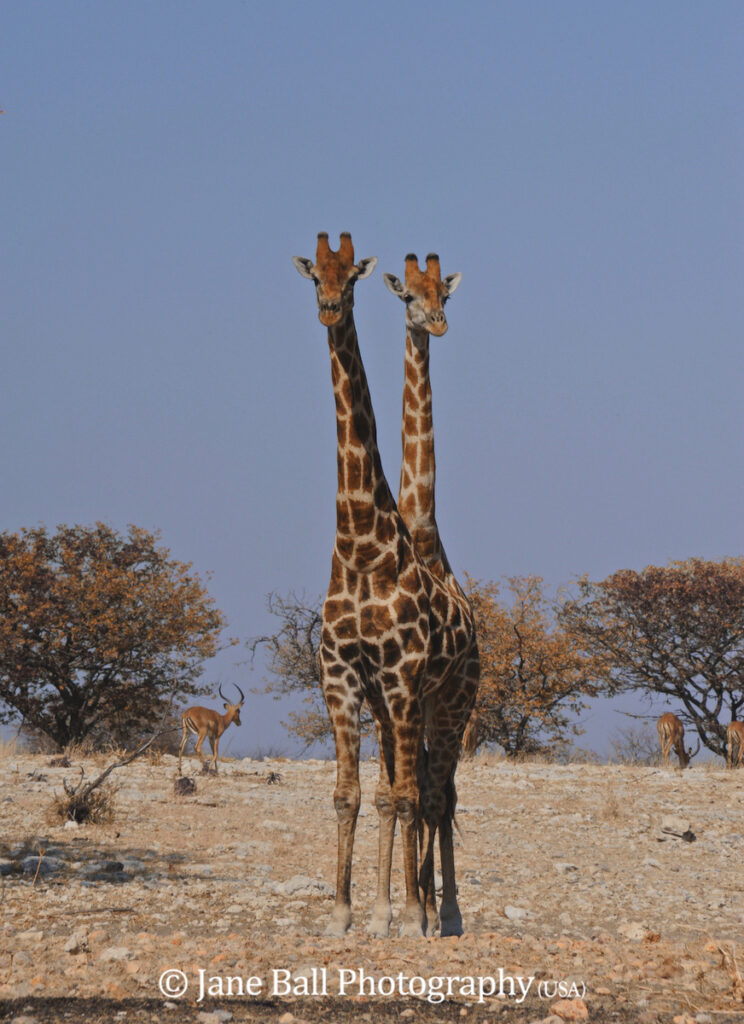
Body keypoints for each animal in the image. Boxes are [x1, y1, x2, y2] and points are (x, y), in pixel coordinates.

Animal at [293, 233, 477, 938]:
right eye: (316, 273)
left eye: (352, 278)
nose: (328, 307)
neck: (362, 543)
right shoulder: (342, 677)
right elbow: (350, 795)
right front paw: (347, 912)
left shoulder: (401, 680)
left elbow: (404, 797)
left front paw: (401, 914)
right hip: (398, 706)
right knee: (412, 789)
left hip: (452, 703)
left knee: (437, 792)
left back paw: (442, 911)